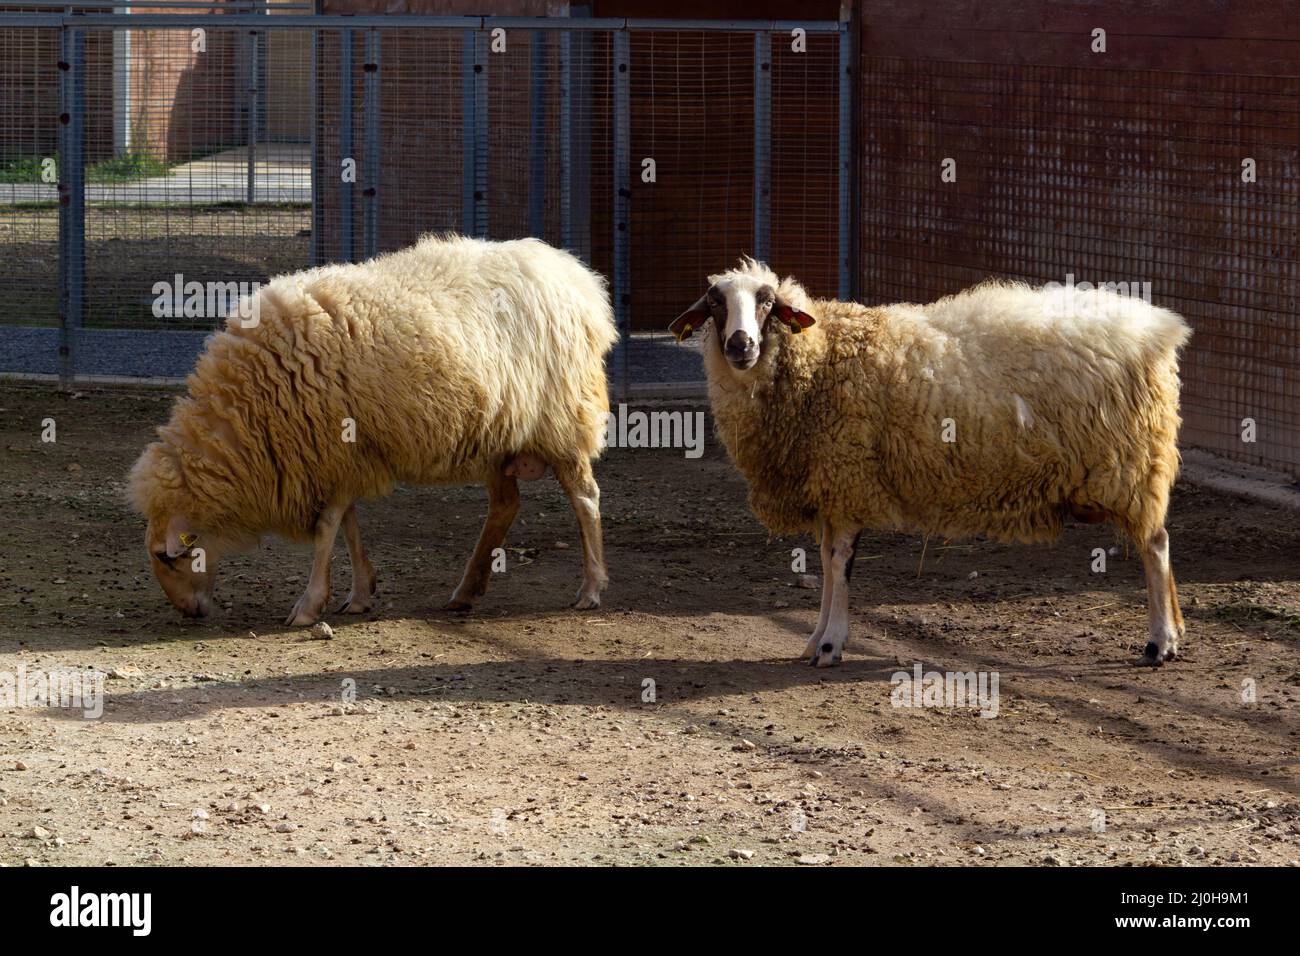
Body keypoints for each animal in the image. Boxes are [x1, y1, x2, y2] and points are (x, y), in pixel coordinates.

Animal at [129, 233, 617, 625]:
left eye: (166, 557)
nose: (187, 613)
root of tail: (575, 279)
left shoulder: (338, 448)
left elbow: (328, 528)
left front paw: (309, 605)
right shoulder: (341, 457)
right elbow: (347, 524)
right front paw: (361, 592)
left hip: (563, 419)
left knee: (584, 498)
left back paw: (591, 588)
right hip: (497, 436)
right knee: (505, 505)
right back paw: (465, 592)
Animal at [671, 258, 1190, 668]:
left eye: (766, 302)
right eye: (715, 303)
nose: (741, 345)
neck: (820, 357)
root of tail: (1159, 330)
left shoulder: (849, 477)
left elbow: (839, 564)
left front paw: (831, 645)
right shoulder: (830, 487)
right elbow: (822, 561)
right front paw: (814, 639)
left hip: (1131, 466)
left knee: (1155, 545)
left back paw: (1159, 643)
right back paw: (1173, 635)